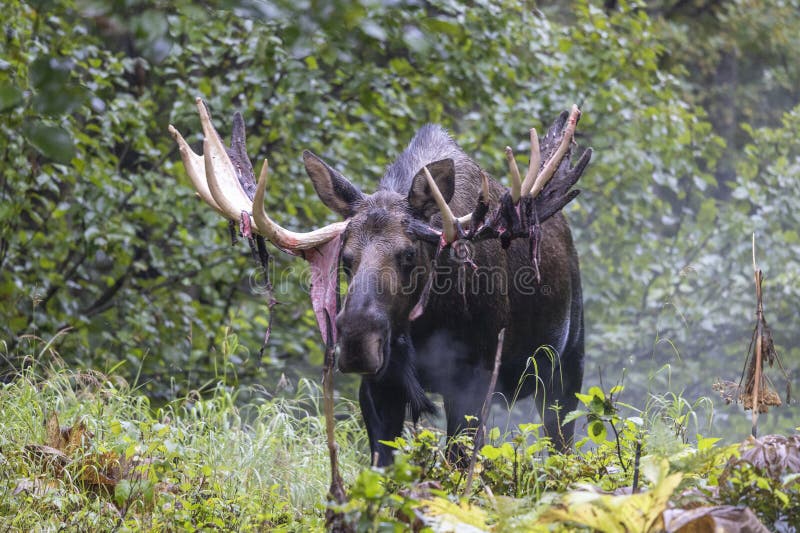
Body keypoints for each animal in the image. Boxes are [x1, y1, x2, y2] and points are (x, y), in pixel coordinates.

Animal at [169, 99, 591, 466]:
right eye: (345, 260)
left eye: (409, 254)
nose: (358, 341)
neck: (427, 325)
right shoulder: (379, 385)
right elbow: (381, 466)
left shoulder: (474, 378)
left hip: (567, 366)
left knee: (561, 442)